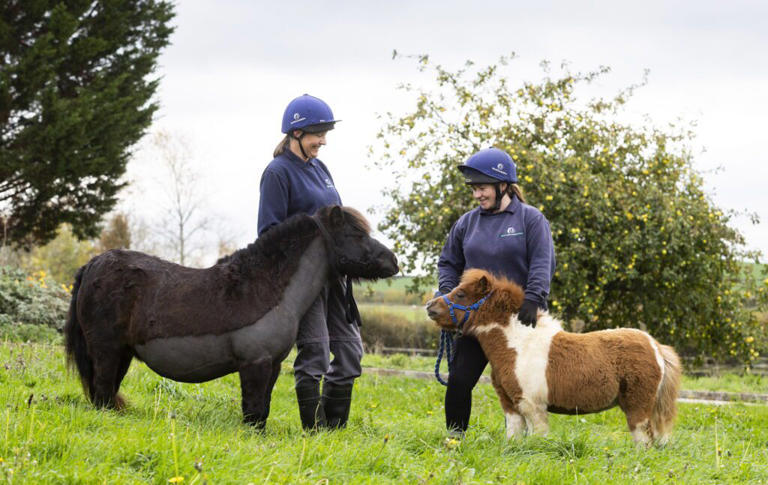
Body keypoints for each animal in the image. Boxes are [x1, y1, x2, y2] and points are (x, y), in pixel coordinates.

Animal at [64, 206, 398, 428]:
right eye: (355, 233)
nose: (393, 261)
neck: (266, 287)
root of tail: (92, 265)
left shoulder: (272, 365)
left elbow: (262, 410)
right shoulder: (255, 364)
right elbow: (253, 410)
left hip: (123, 353)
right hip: (107, 350)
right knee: (102, 391)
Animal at [425, 269, 681, 446]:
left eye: (461, 293)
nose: (429, 306)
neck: (518, 344)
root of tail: (656, 347)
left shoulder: (532, 406)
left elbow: (538, 439)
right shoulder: (511, 405)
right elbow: (513, 440)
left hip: (638, 407)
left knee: (644, 442)